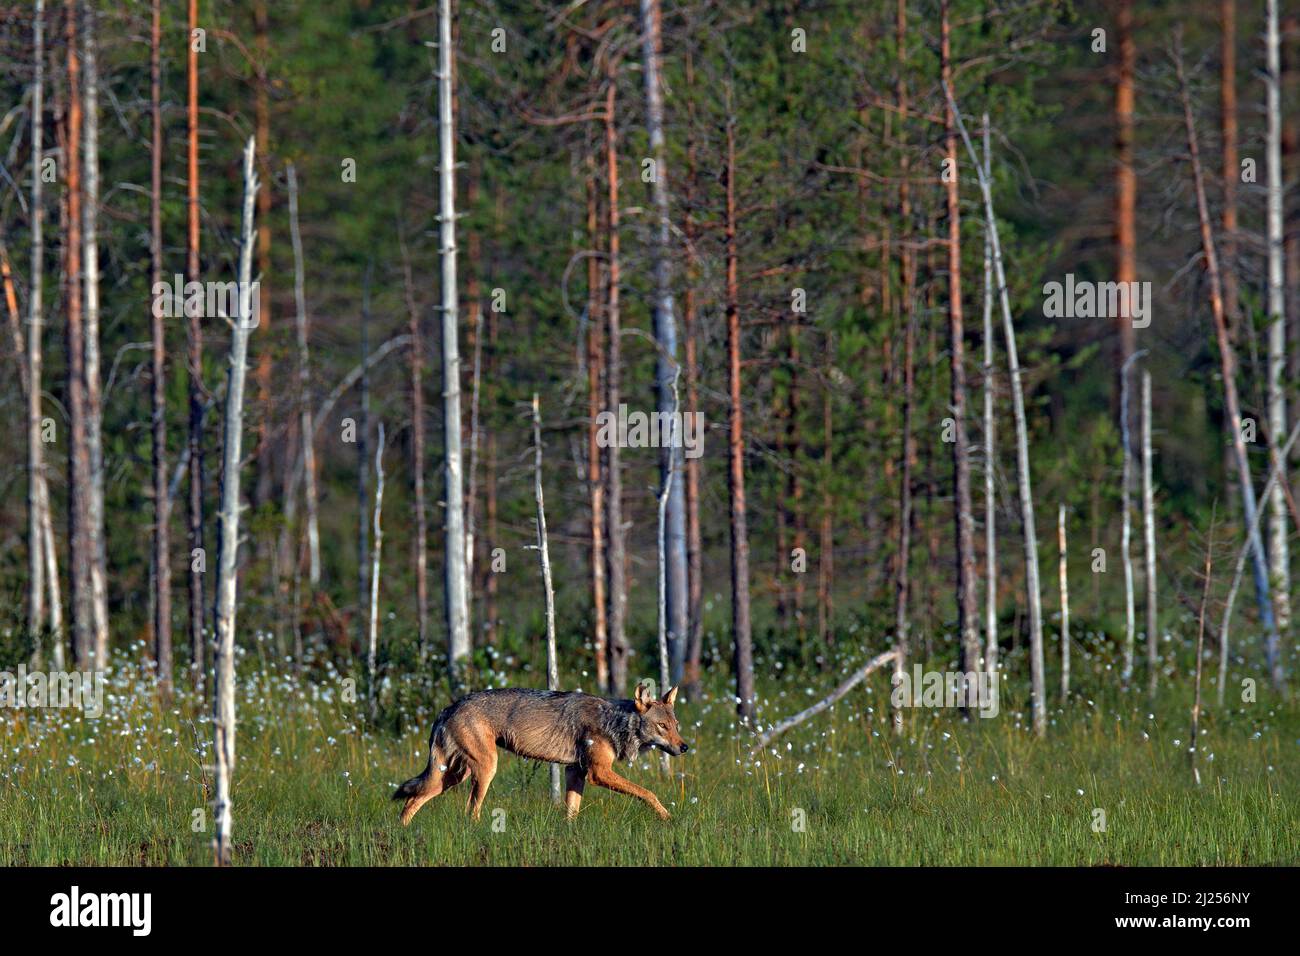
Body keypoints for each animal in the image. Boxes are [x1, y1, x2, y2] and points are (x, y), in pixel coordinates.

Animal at [393, 682, 689, 824]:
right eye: (662, 726)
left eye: (676, 725)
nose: (684, 747)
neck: (614, 721)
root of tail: (448, 708)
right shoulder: (599, 773)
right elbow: (647, 793)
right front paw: (667, 817)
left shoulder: (575, 771)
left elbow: (571, 813)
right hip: (484, 770)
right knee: (469, 811)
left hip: (452, 776)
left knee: (411, 801)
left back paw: (401, 834)